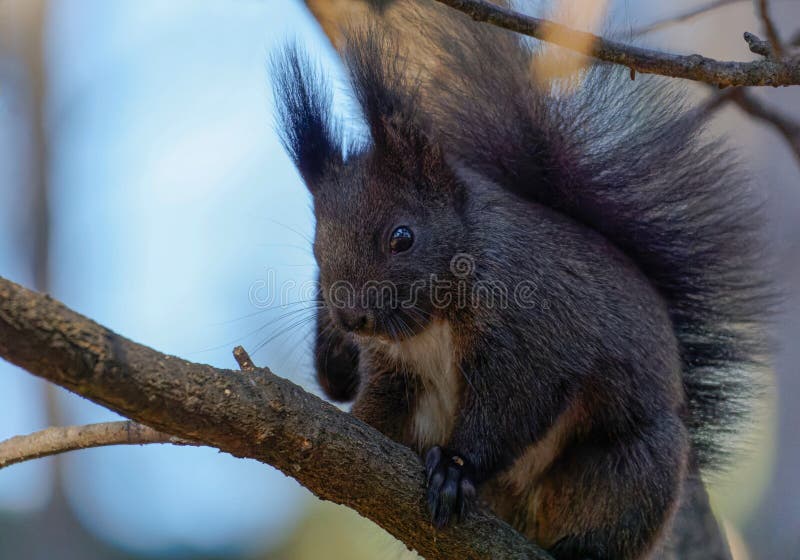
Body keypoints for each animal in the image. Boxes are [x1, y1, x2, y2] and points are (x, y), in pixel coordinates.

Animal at [270, 3, 773, 558]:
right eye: (317, 250)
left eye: (402, 237)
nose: (350, 318)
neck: (434, 317)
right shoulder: (395, 369)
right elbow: (382, 410)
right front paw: (347, 428)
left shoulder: (531, 337)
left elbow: (512, 408)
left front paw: (455, 467)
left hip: (628, 467)